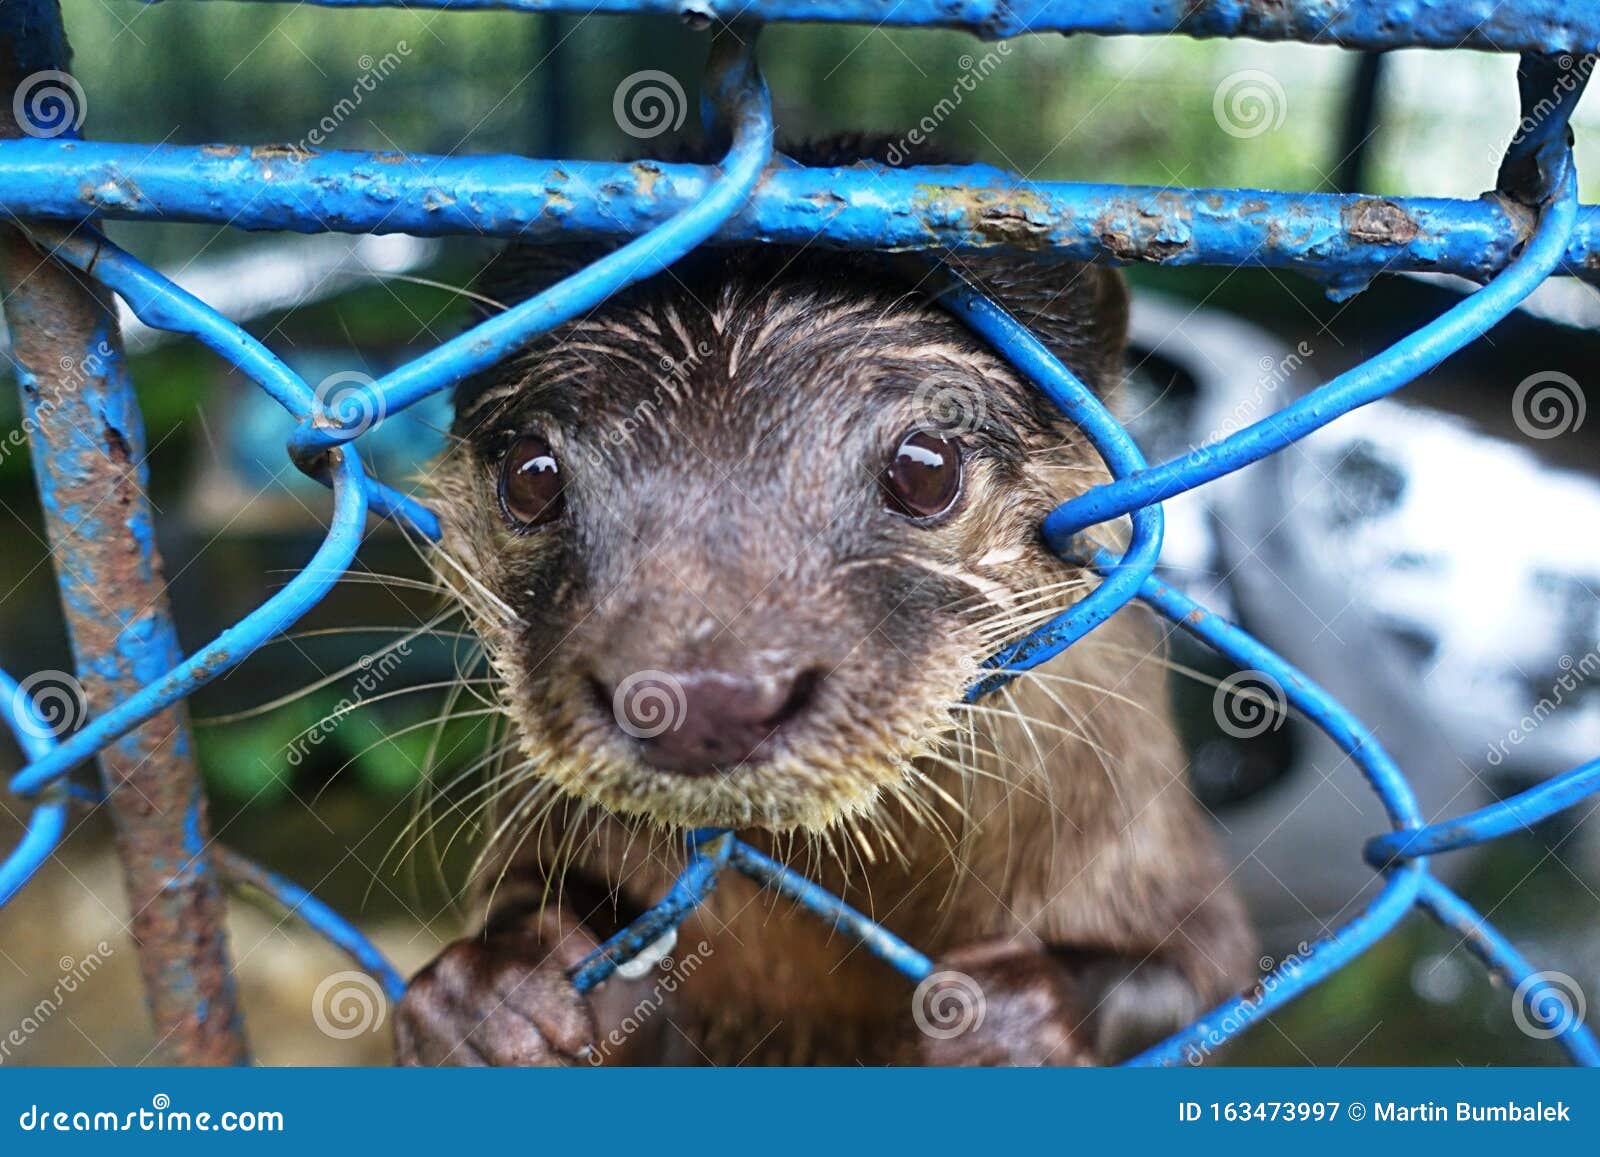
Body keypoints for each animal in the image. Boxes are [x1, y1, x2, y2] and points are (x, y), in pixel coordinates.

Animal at [394, 140, 1255, 1066]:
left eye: (926, 465)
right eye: (532, 474)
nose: (701, 697)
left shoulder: (1161, 856)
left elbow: (1200, 972)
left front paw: (1019, 1017)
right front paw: (493, 992)